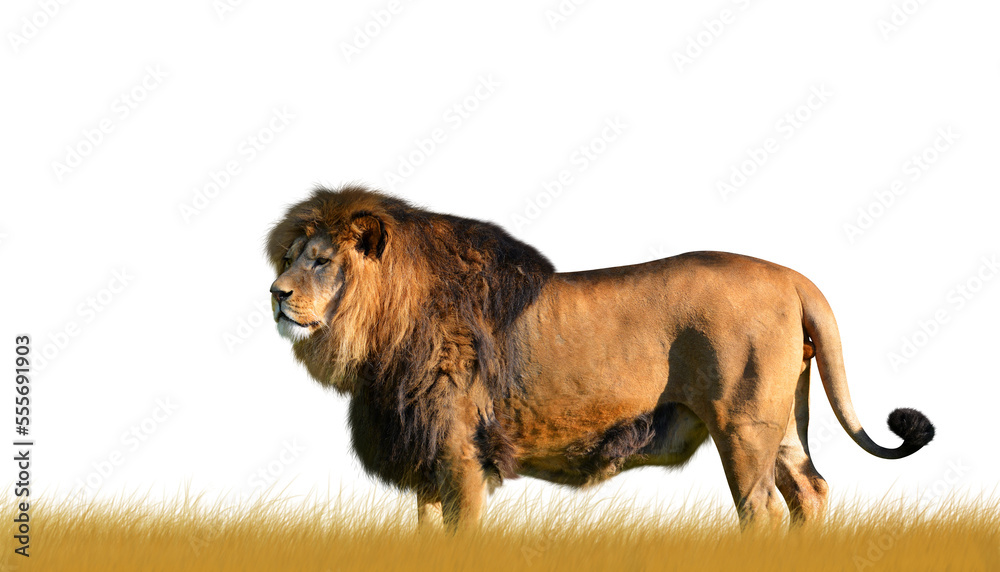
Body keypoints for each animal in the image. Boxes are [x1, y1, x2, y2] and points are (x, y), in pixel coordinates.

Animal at [266, 184, 934, 531]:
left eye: (320, 261)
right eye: (289, 258)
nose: (275, 294)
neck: (381, 336)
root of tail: (794, 277)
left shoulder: (461, 454)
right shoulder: (425, 455)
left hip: (742, 427)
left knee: (762, 510)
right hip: (782, 420)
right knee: (811, 493)